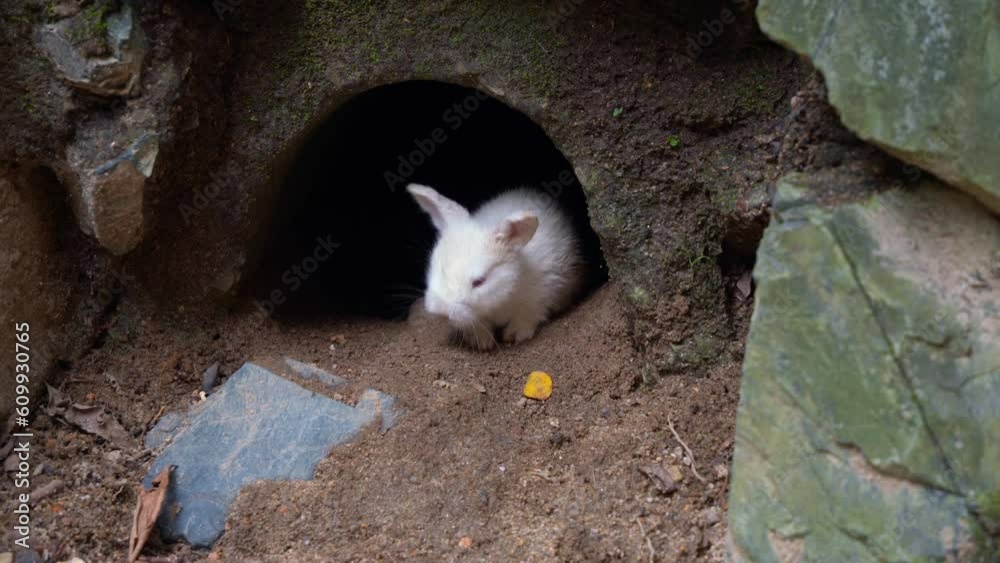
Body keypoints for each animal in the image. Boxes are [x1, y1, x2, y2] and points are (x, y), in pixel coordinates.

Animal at [407, 183, 584, 349]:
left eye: (479, 281)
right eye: (435, 265)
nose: (440, 311)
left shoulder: (541, 295)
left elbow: (528, 316)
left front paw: (515, 335)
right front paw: (481, 342)